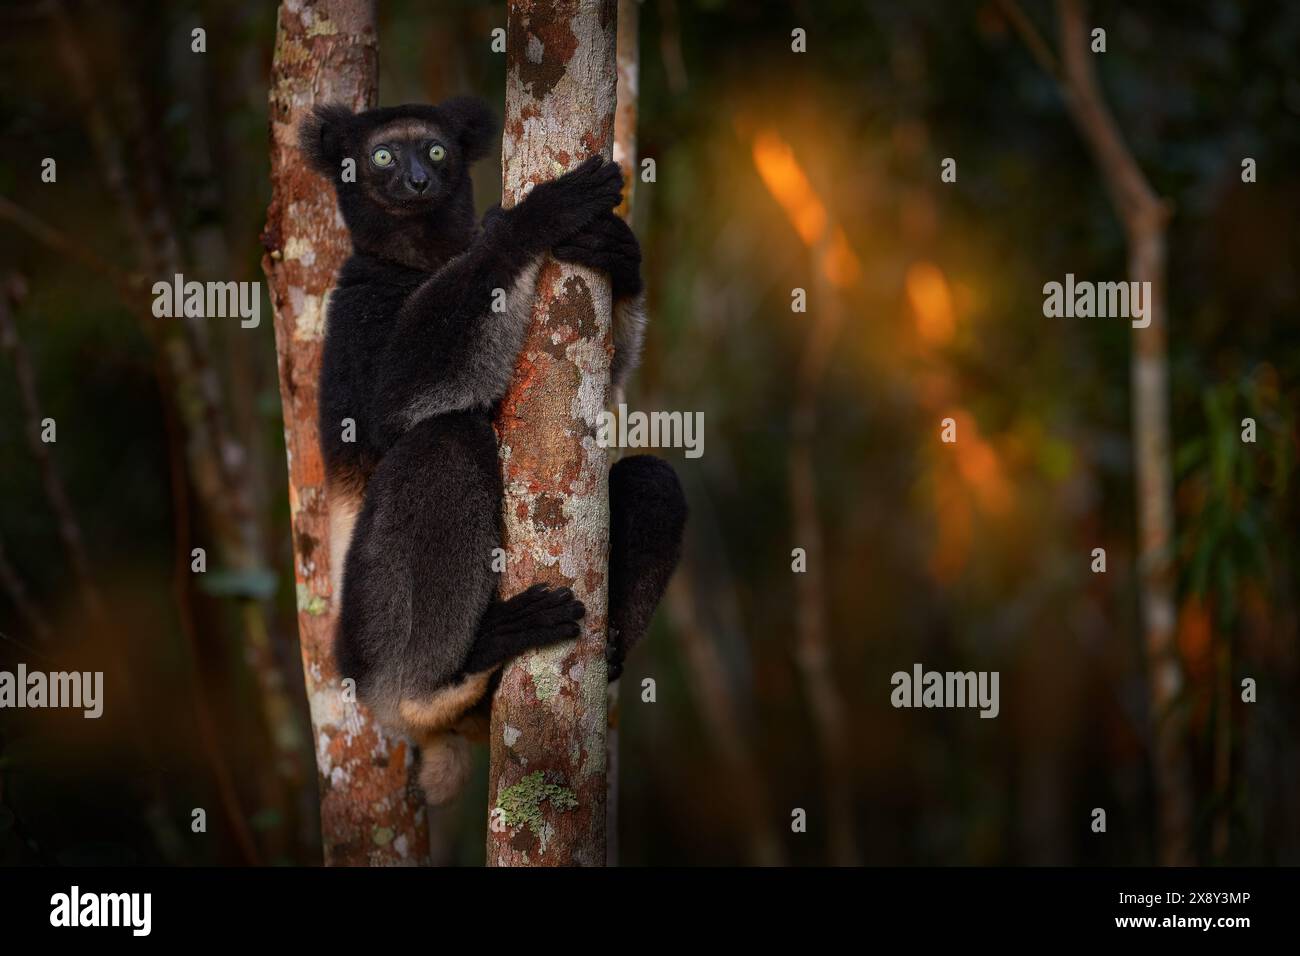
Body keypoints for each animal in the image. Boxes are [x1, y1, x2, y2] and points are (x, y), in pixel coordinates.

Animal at [298, 97, 686, 805]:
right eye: (381, 156)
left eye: (438, 151)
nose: (416, 182)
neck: (419, 259)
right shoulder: (358, 301)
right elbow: (395, 400)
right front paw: (533, 219)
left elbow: (612, 390)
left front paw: (618, 254)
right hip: (370, 633)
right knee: (444, 442)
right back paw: (444, 679)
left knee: (652, 483)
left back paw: (606, 654)